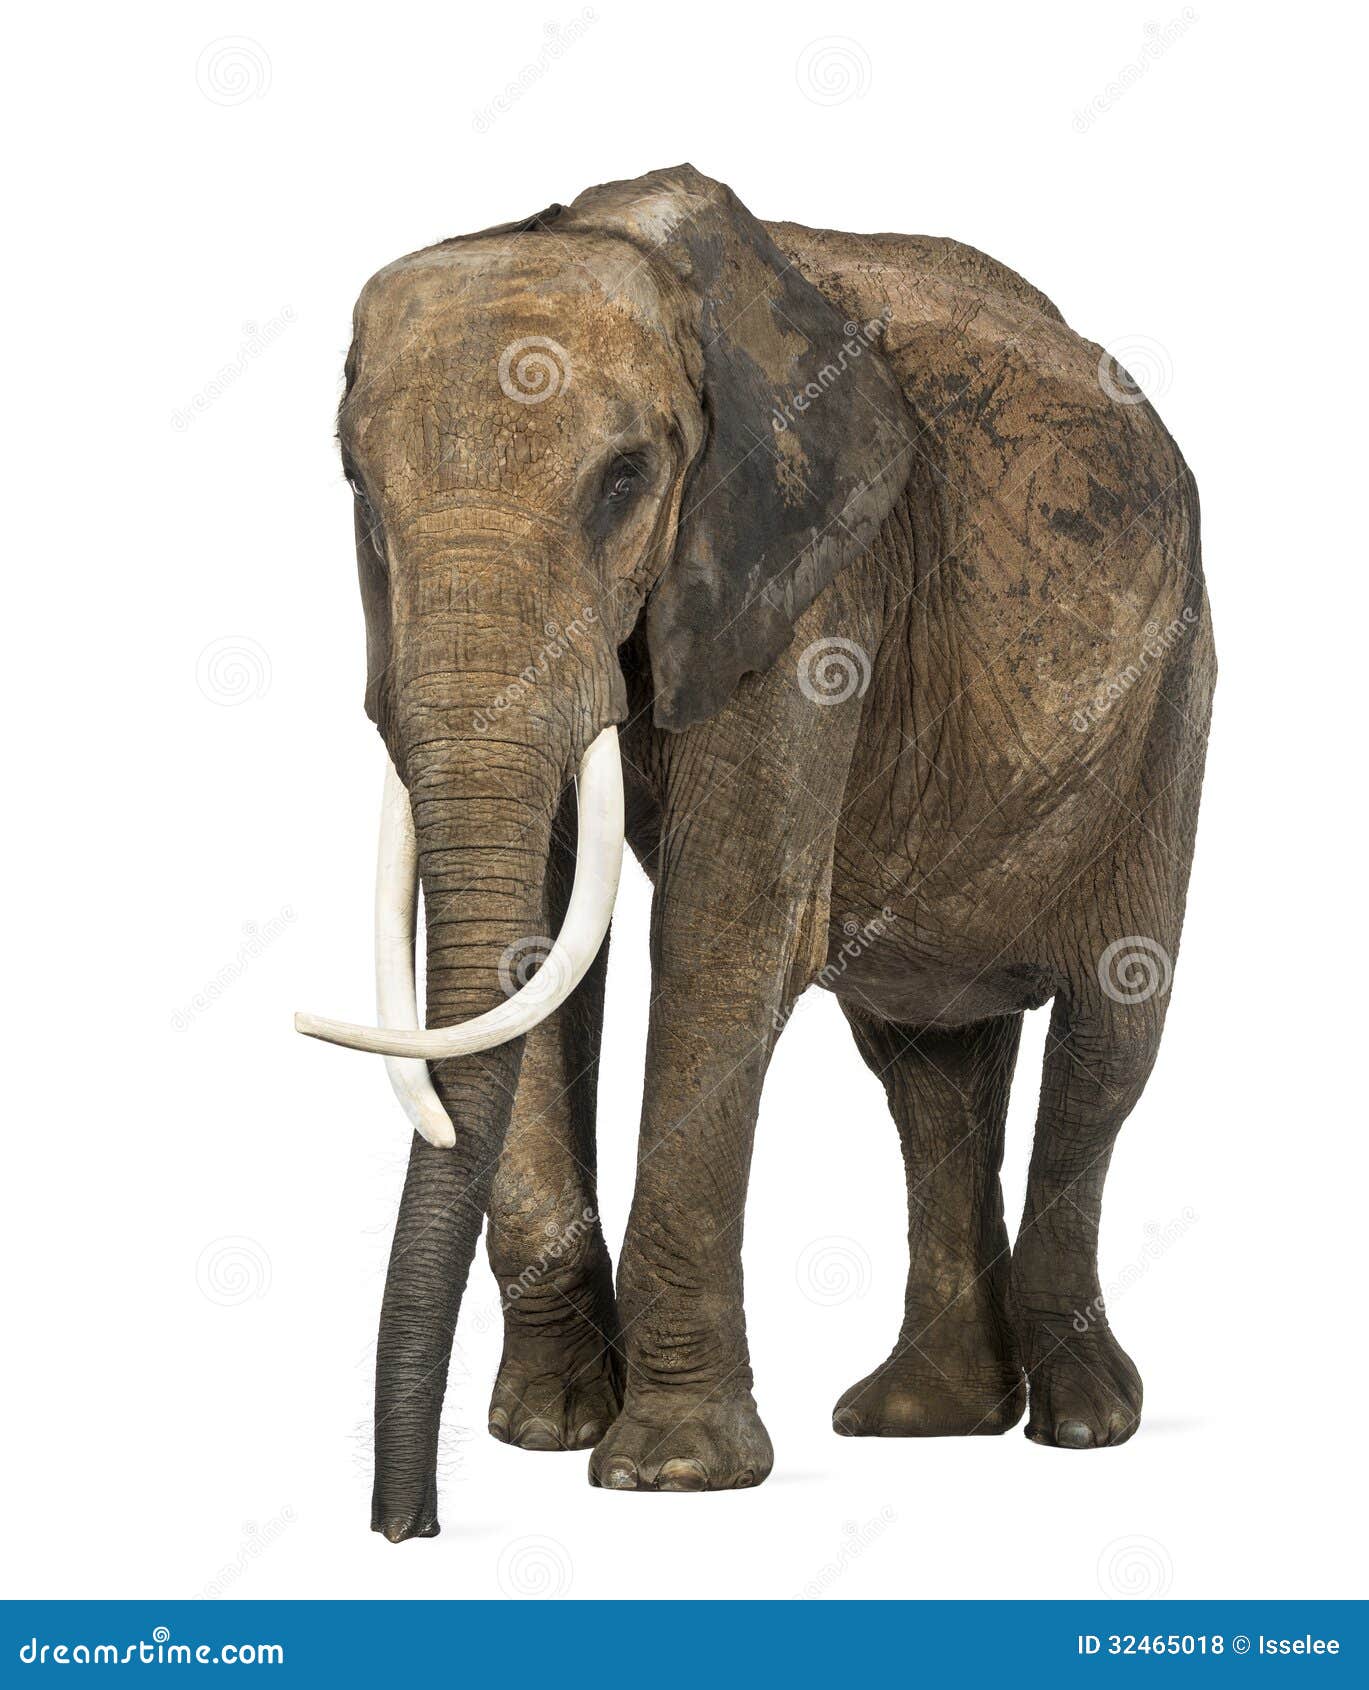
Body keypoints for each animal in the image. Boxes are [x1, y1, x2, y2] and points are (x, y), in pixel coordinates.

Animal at [296, 164, 1215, 1542]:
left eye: (625, 480)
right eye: (356, 484)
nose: (408, 1526)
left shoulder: (815, 584)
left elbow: (722, 942)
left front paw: (671, 1472)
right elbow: (539, 962)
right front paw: (547, 1430)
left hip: (1170, 702)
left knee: (1110, 1037)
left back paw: (1081, 1422)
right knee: (926, 1070)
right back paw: (923, 1416)